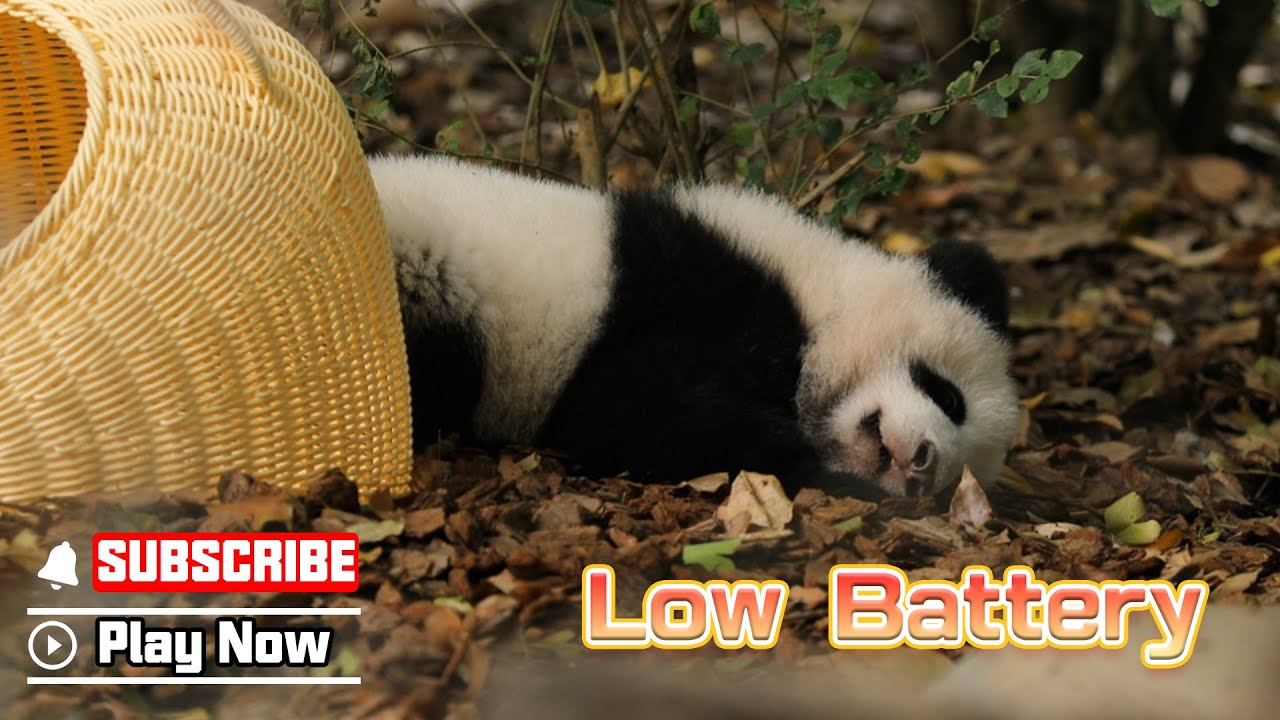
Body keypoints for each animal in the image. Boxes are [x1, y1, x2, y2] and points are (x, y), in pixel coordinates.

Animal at [368, 154, 1020, 498]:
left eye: (957, 483)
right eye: (949, 395)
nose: (925, 467)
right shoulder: (693, 291)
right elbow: (633, 415)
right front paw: (818, 469)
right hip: (430, 274)